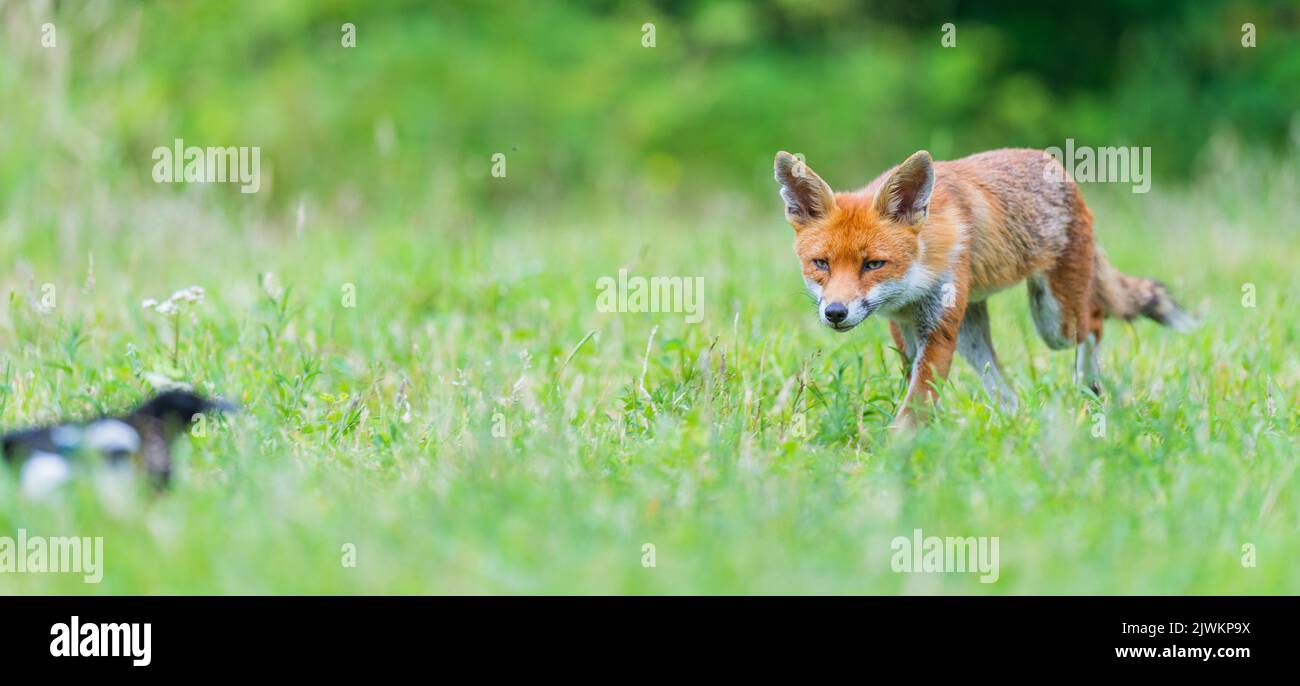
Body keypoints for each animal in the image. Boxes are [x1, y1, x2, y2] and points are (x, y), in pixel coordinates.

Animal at [774, 148, 1194, 428]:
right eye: (821, 264)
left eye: (873, 264)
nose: (835, 313)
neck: (915, 280)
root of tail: (1056, 166)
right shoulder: (905, 325)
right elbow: (915, 388)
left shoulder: (938, 328)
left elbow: (917, 401)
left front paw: (897, 450)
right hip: (972, 331)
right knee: (1005, 389)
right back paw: (1015, 423)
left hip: (1054, 322)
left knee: (1094, 320)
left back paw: (1089, 390)